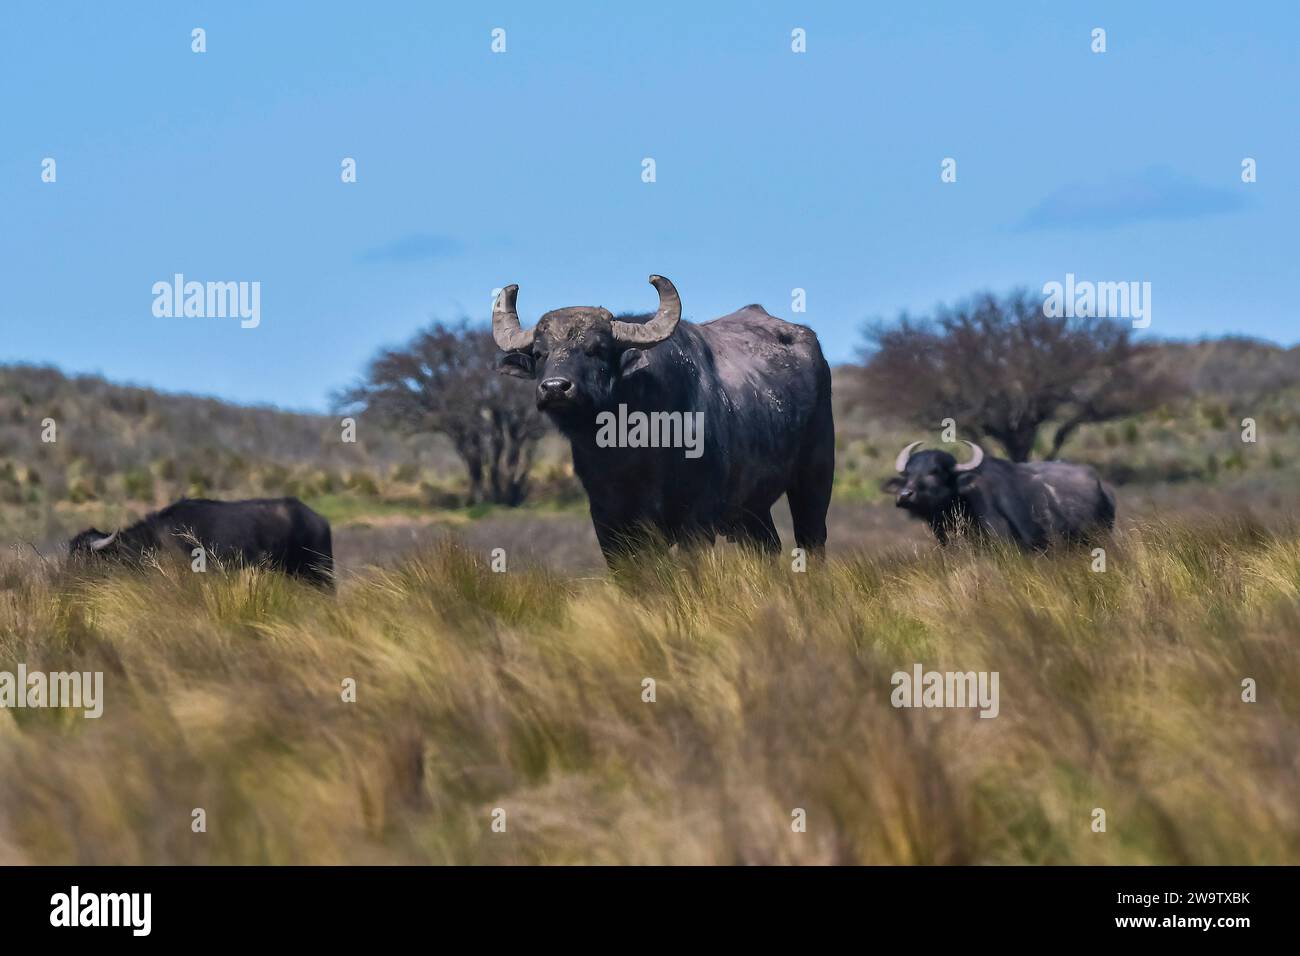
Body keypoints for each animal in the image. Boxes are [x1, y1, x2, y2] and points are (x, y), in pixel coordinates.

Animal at [493, 275, 835, 564]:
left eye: (596, 349)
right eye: (540, 353)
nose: (555, 388)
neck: (628, 449)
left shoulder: (696, 518)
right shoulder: (608, 521)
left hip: (815, 476)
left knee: (812, 539)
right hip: (752, 508)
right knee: (767, 547)